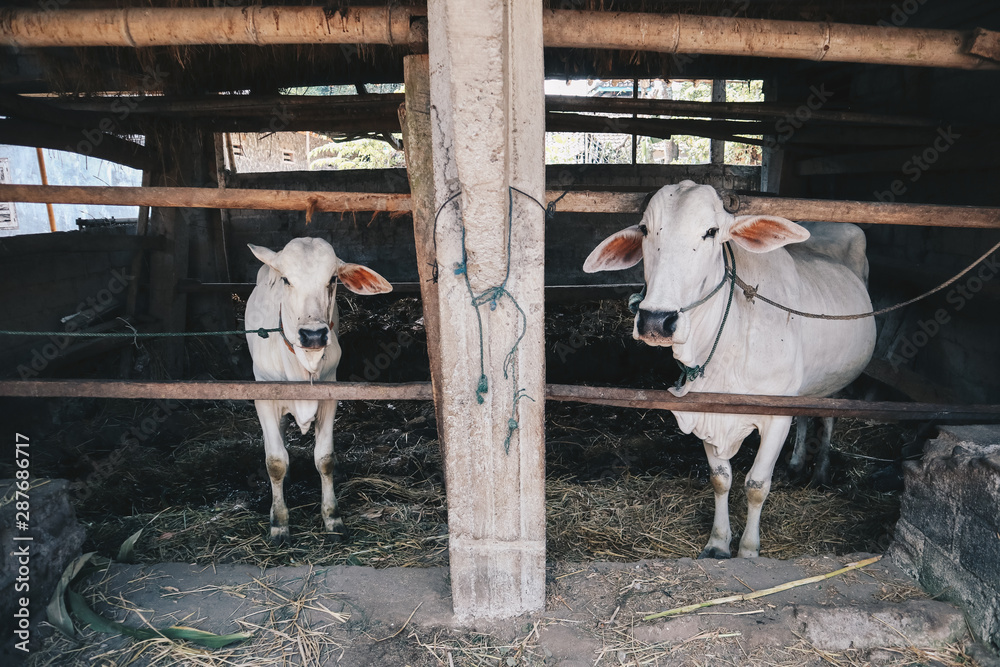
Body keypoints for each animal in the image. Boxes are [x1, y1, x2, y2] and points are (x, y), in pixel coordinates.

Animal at [245, 237, 392, 544]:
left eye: (332, 279)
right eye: (286, 280)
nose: (313, 335)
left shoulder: (329, 398)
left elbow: (324, 460)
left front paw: (332, 518)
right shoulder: (264, 397)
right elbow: (275, 461)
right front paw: (279, 523)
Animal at [583, 181, 875, 558]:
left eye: (710, 232)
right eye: (646, 229)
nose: (655, 320)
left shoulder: (775, 416)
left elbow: (756, 484)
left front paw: (748, 551)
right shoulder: (707, 409)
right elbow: (721, 479)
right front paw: (719, 543)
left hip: (834, 383)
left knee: (826, 420)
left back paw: (820, 472)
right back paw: (796, 464)